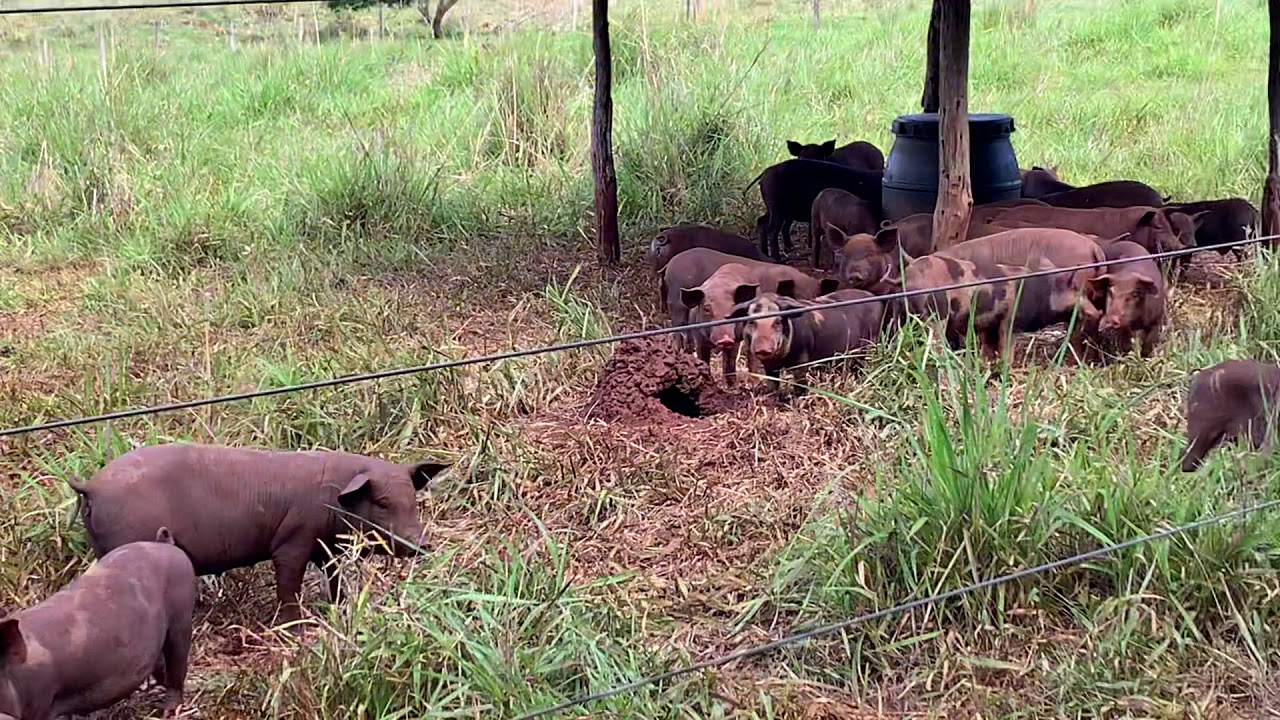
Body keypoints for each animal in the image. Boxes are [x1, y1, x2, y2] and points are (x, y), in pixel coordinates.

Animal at [66, 443, 450, 625]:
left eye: (413, 499)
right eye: (382, 502)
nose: (423, 544)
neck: (334, 496)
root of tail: (92, 487)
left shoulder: (325, 547)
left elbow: (335, 577)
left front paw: (341, 607)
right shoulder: (293, 540)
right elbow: (288, 586)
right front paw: (296, 628)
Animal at [680, 261, 838, 385]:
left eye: (732, 308)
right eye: (707, 308)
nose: (725, 339)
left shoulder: (735, 337)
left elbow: (730, 361)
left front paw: (731, 388)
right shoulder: (698, 338)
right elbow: (703, 359)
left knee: (750, 356)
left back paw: (753, 381)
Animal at [730, 289, 884, 394]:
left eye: (778, 322)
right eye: (751, 321)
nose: (763, 348)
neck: (781, 359)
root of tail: (874, 298)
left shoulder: (802, 357)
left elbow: (800, 382)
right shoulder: (769, 365)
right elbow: (773, 382)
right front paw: (771, 395)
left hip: (869, 344)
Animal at [752, 158, 884, 261]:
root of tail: (765, 172)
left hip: (773, 208)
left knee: (761, 222)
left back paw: (765, 254)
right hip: (778, 207)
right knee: (772, 230)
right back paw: (777, 258)